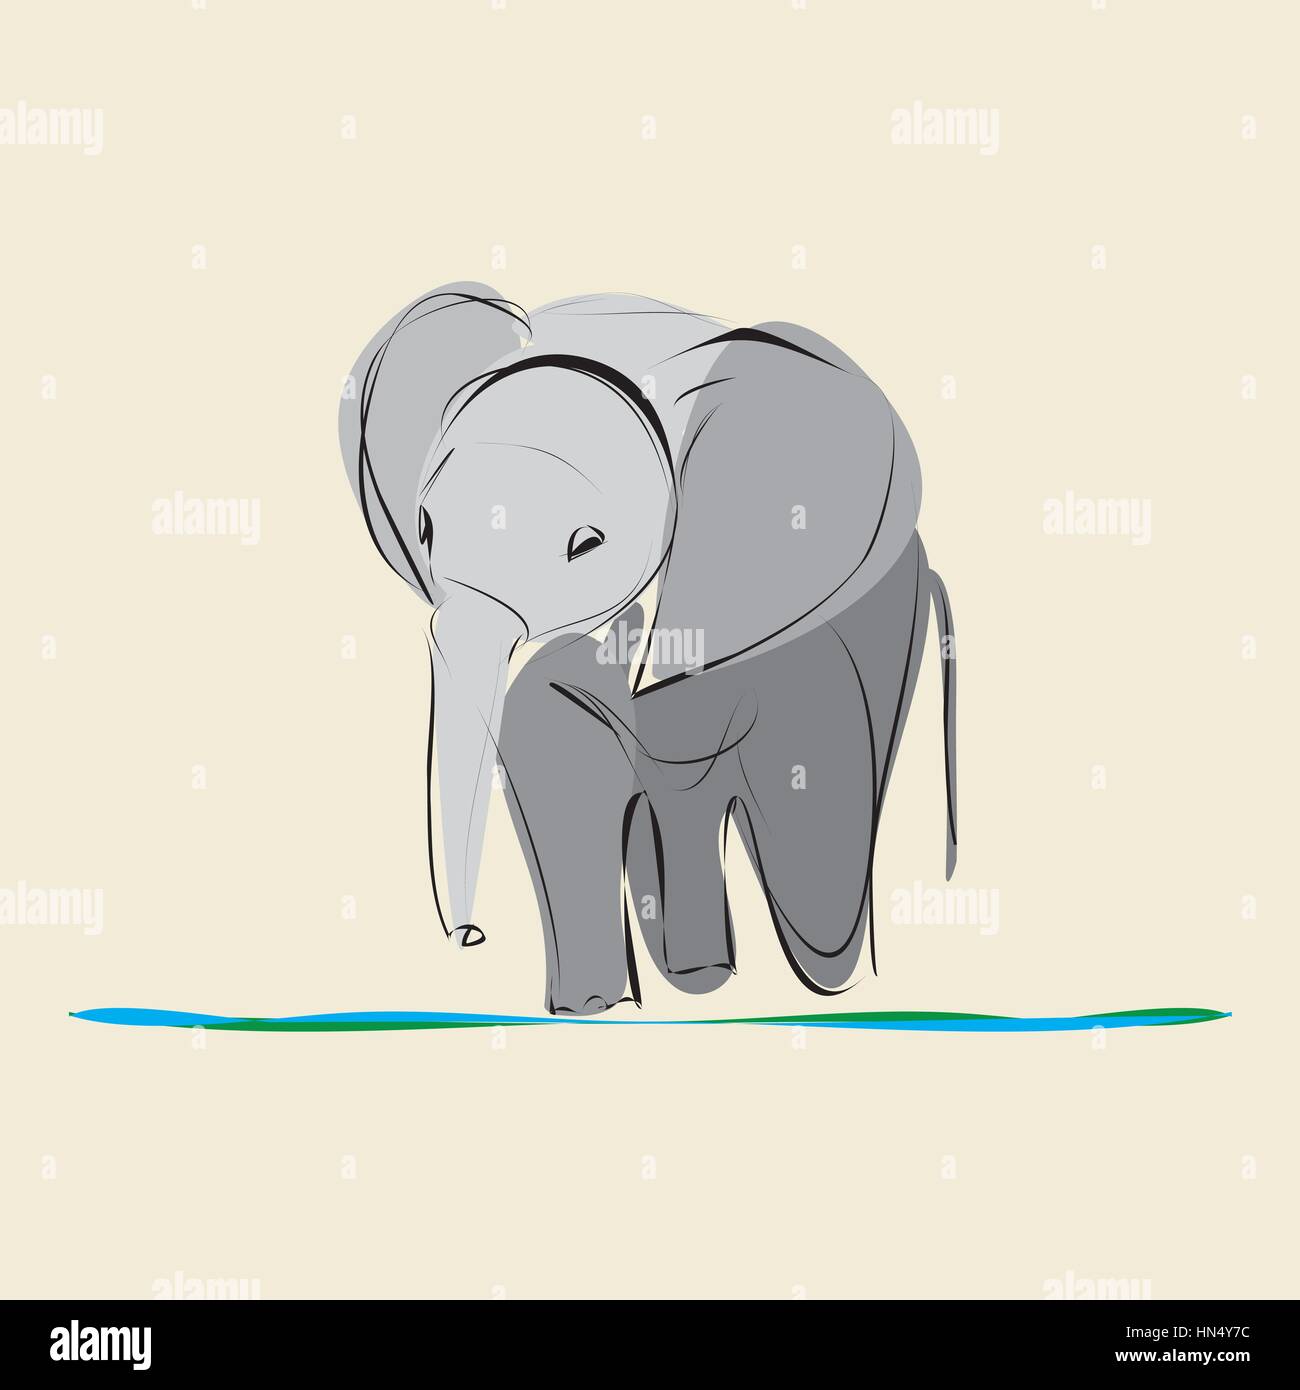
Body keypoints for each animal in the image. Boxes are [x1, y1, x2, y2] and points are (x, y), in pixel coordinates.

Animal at [338, 284, 958, 1015]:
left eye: (585, 543)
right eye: (425, 528)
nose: (473, 938)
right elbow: (552, 735)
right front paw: (591, 1011)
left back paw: (819, 982)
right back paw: (702, 977)